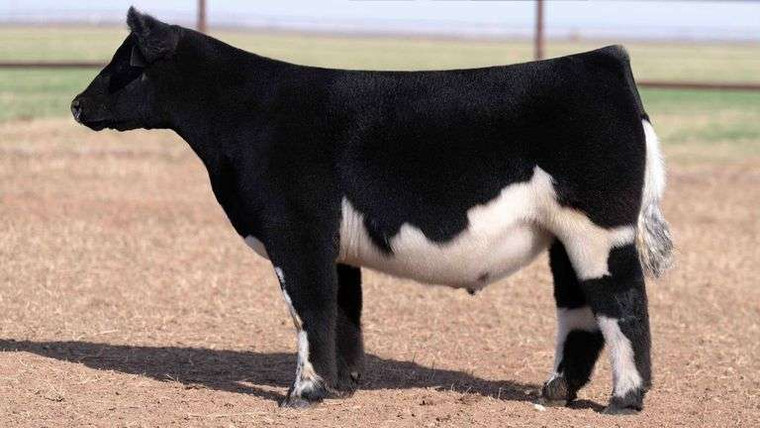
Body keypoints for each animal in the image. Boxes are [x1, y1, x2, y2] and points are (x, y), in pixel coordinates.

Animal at [71, 7, 673, 414]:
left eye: (125, 63)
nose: (77, 104)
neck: (250, 115)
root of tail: (606, 60)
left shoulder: (297, 232)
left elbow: (308, 309)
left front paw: (302, 394)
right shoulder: (334, 244)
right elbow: (342, 312)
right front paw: (340, 387)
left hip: (598, 229)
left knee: (623, 303)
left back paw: (625, 399)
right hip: (564, 238)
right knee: (580, 311)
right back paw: (554, 392)